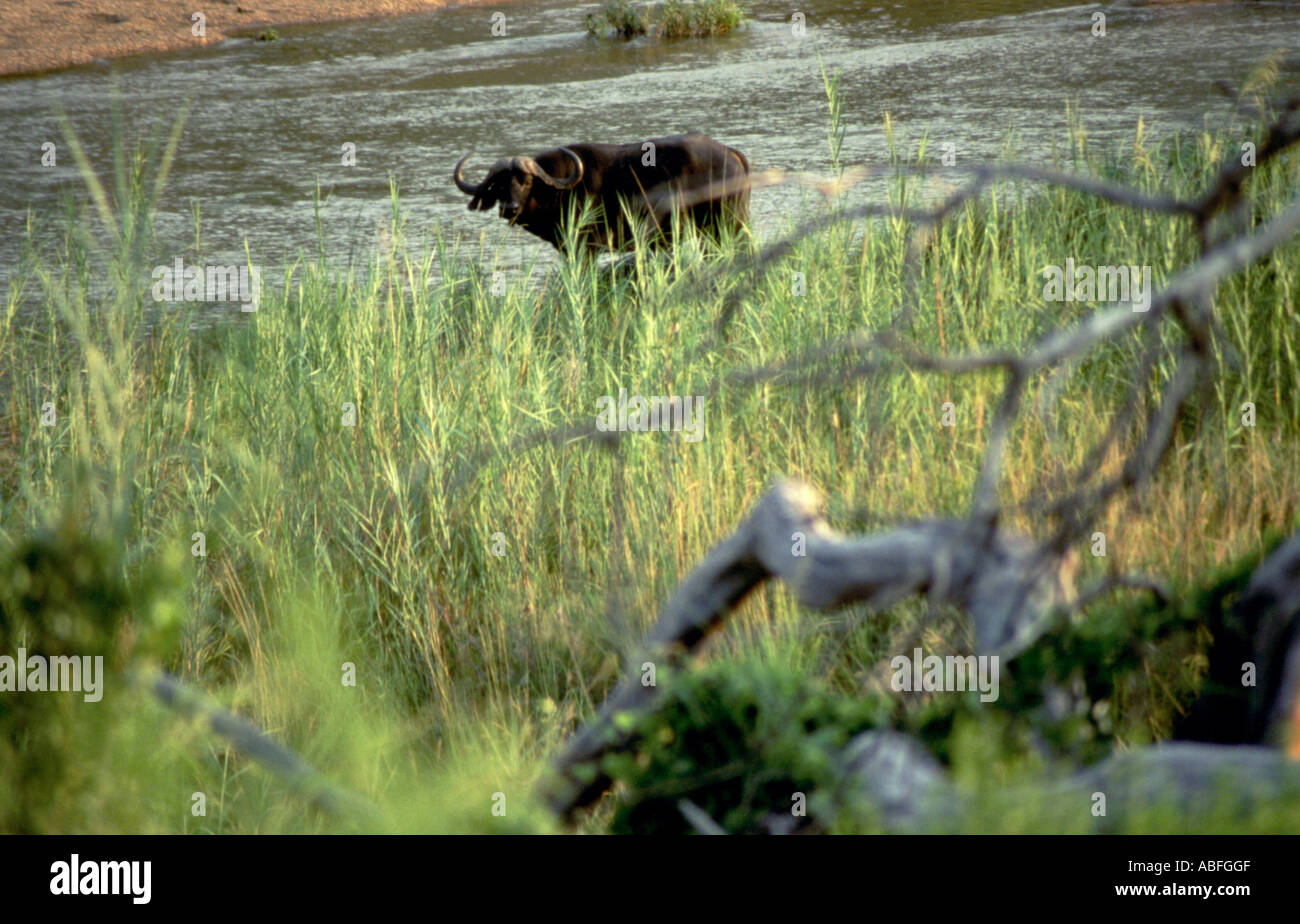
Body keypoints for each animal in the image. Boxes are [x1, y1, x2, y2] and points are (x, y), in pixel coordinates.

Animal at [452, 132, 749, 252]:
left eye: (525, 181)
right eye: (500, 184)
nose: (509, 208)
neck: (559, 192)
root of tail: (728, 153)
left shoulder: (585, 248)